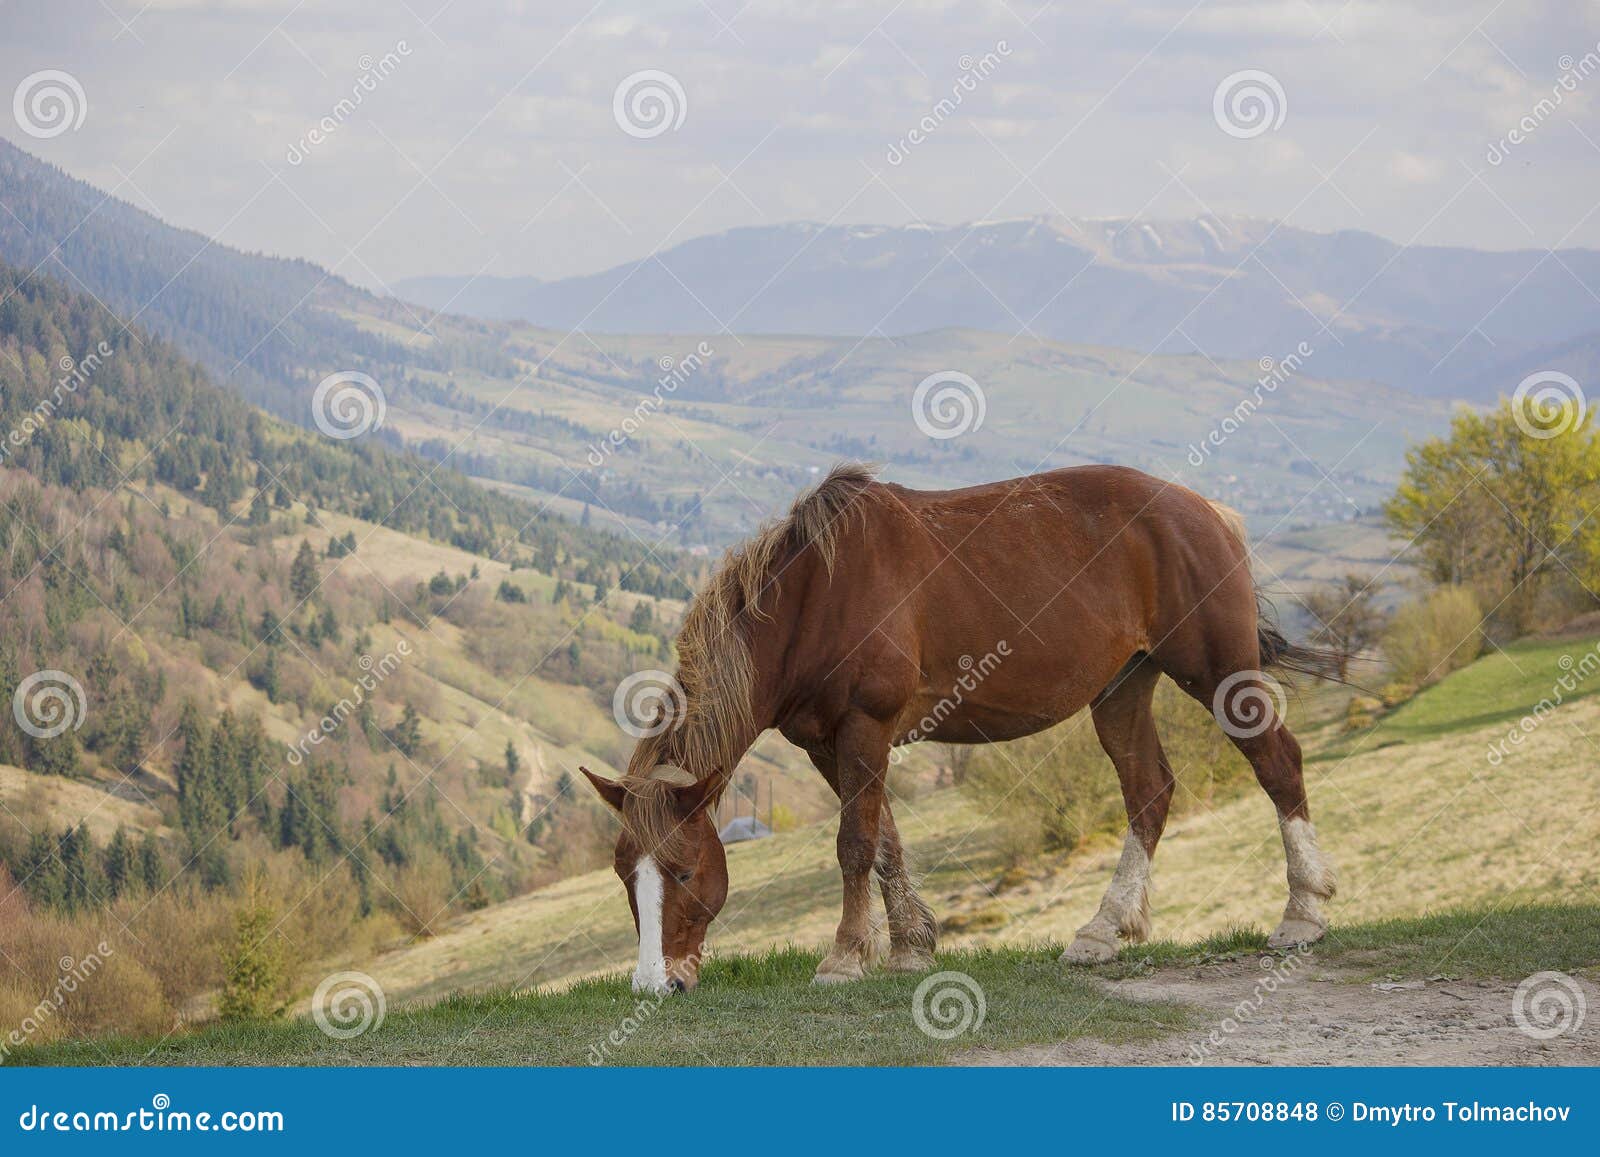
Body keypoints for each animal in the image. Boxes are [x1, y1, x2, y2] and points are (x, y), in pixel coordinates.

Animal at [581, 463, 1339, 994]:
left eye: (683, 870)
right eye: (624, 874)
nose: (656, 984)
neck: (816, 596)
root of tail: (1206, 510)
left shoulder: (865, 727)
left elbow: (854, 844)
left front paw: (844, 957)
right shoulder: (829, 744)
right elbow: (884, 840)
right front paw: (910, 945)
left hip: (1217, 673)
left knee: (1278, 764)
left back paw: (1303, 911)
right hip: (1123, 688)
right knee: (1147, 791)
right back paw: (1103, 930)